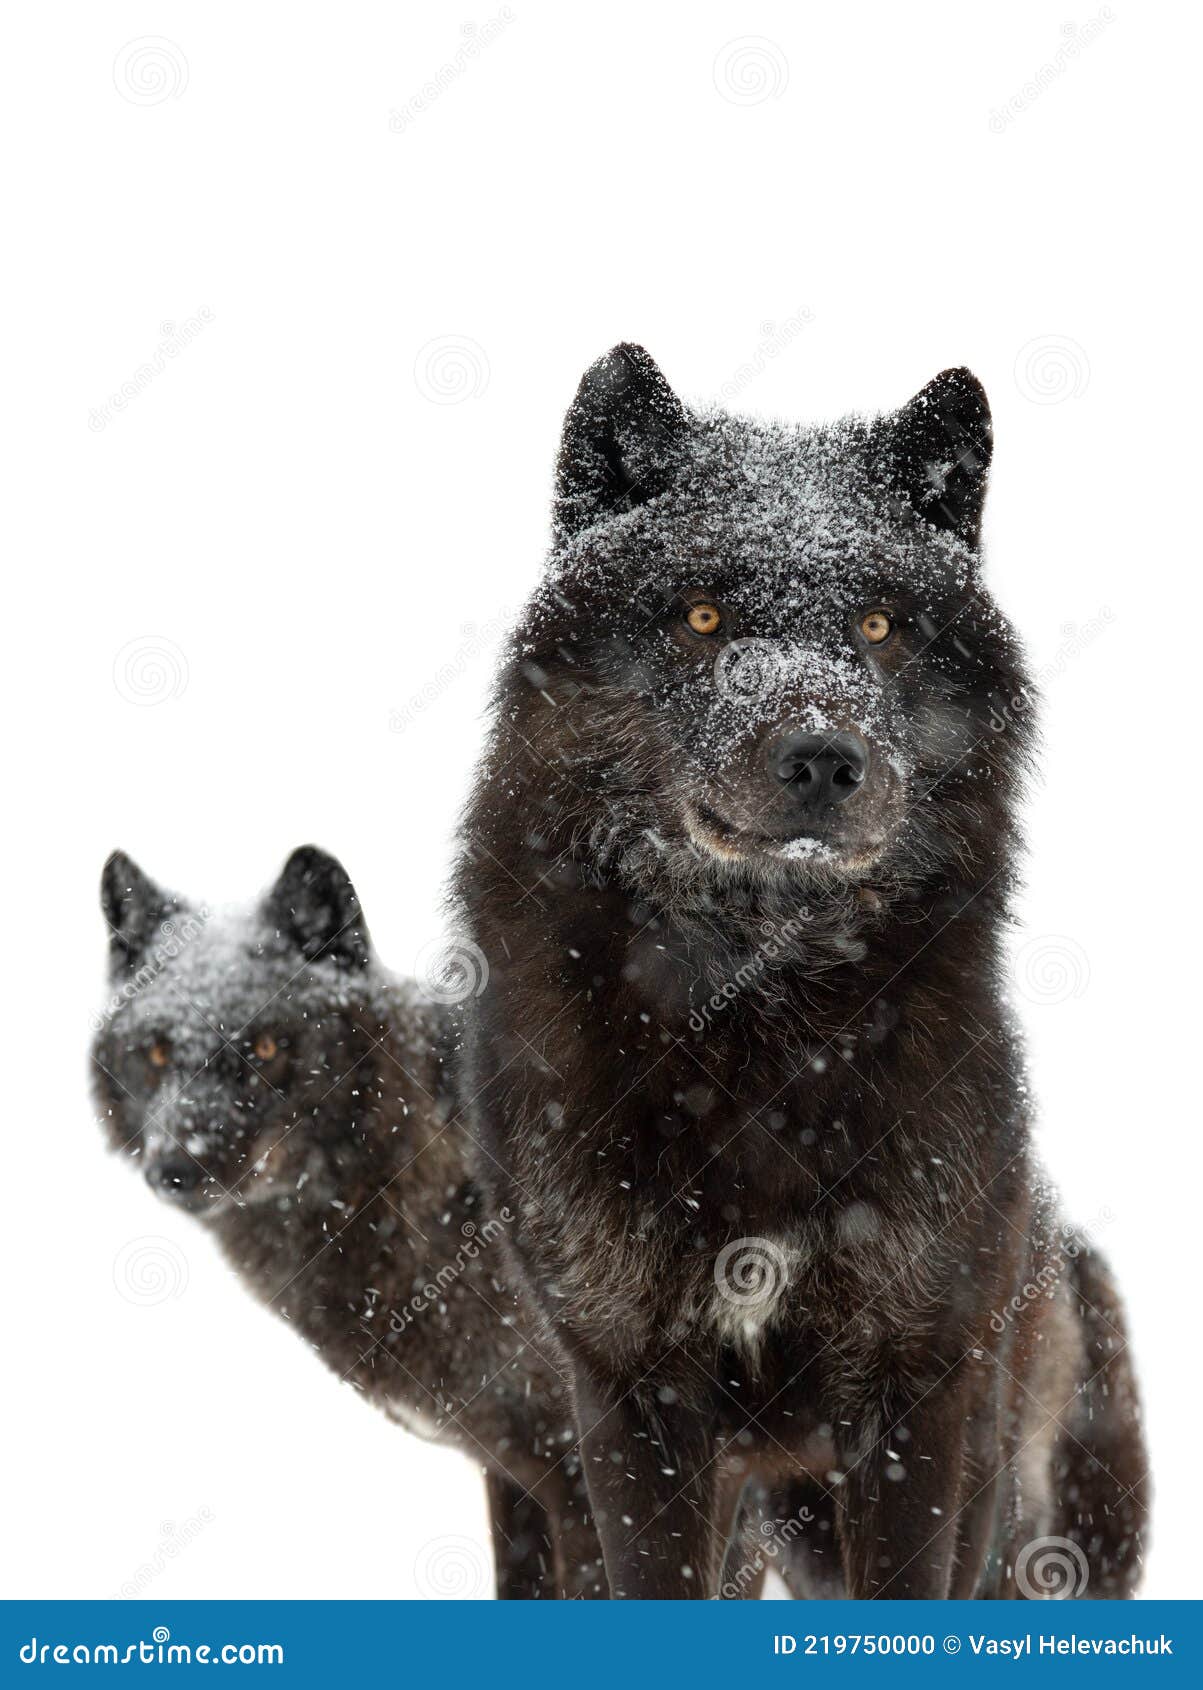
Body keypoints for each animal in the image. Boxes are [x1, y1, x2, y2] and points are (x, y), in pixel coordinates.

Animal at [451, 345, 1149, 1598]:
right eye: (702, 614)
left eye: (877, 622)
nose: (824, 756)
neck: (758, 1015)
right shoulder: (630, 1397)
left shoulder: (919, 1389)